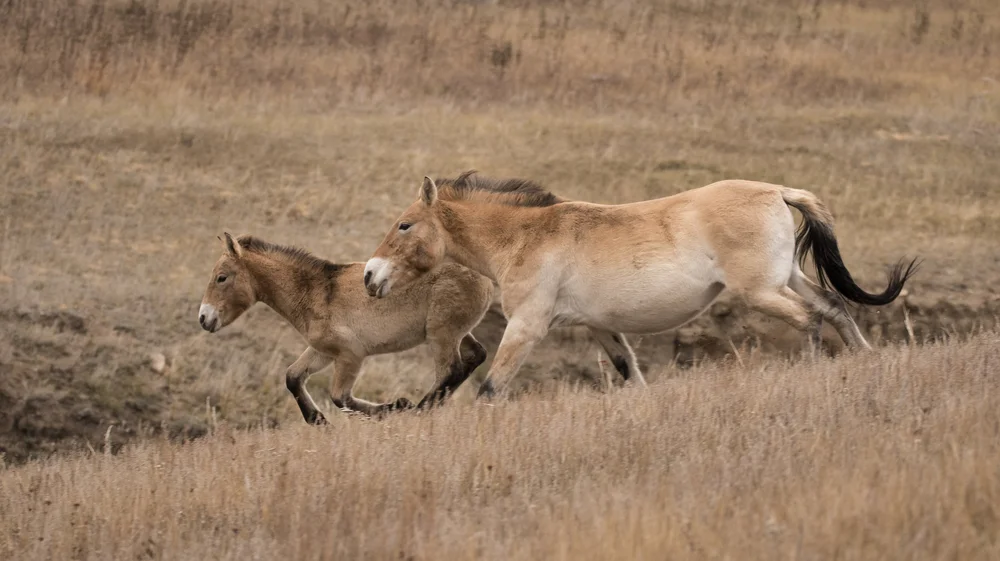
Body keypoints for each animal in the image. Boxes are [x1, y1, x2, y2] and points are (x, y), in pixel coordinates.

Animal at [198, 233, 494, 424]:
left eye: (222, 277)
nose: (203, 318)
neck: (317, 293)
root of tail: (483, 276)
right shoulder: (323, 352)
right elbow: (293, 377)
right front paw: (317, 420)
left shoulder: (350, 355)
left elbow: (341, 398)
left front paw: (398, 405)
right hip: (455, 333)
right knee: (474, 357)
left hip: (441, 335)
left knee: (451, 370)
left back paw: (419, 409)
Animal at [362, 171, 918, 400]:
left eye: (404, 225)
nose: (370, 276)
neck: (527, 236)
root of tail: (777, 192)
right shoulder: (600, 328)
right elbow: (631, 372)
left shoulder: (526, 326)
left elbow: (491, 388)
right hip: (789, 280)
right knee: (834, 308)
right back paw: (865, 362)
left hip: (761, 291)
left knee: (810, 320)